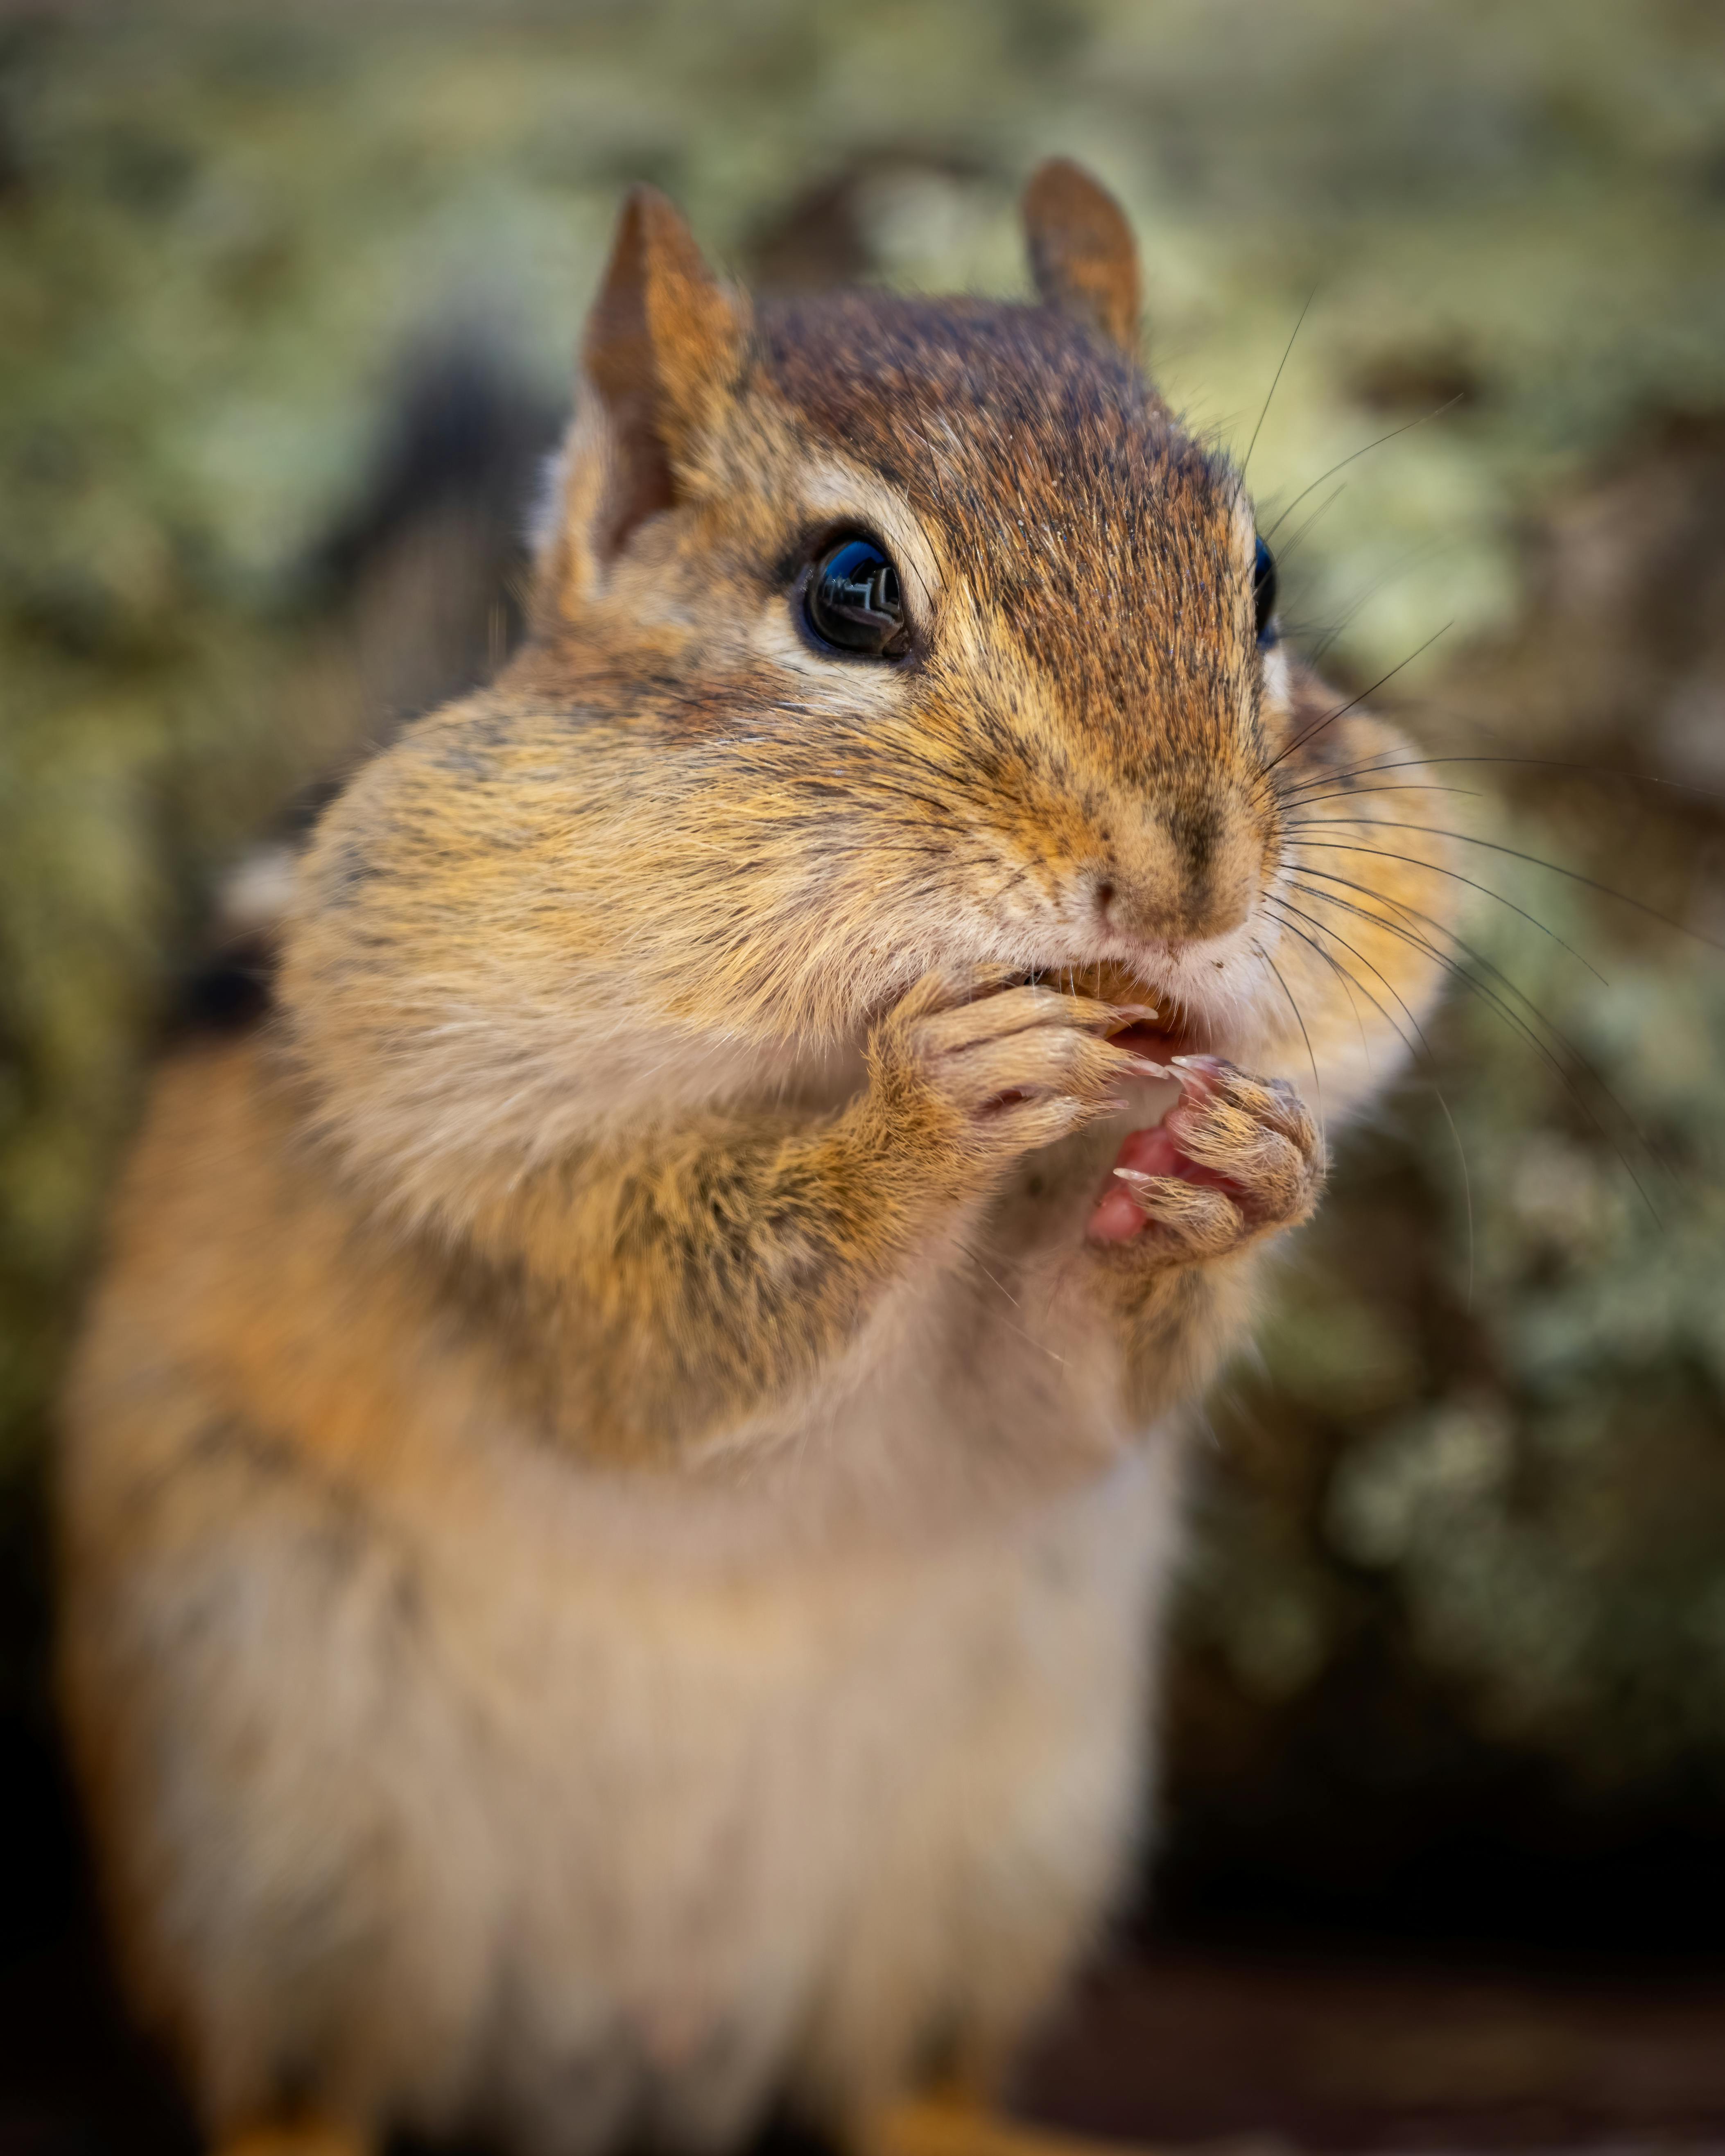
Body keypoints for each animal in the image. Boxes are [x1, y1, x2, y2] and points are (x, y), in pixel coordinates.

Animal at [56, 160, 1457, 2156]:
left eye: (1263, 583)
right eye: (847, 590)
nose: (1190, 884)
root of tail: (633, 2056)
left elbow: (1060, 1392)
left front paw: (1240, 1182)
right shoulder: (508, 1211)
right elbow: (671, 1352)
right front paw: (930, 1102)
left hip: (997, 1842)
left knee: (892, 2084)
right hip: (265, 1827)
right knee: (297, 2079)